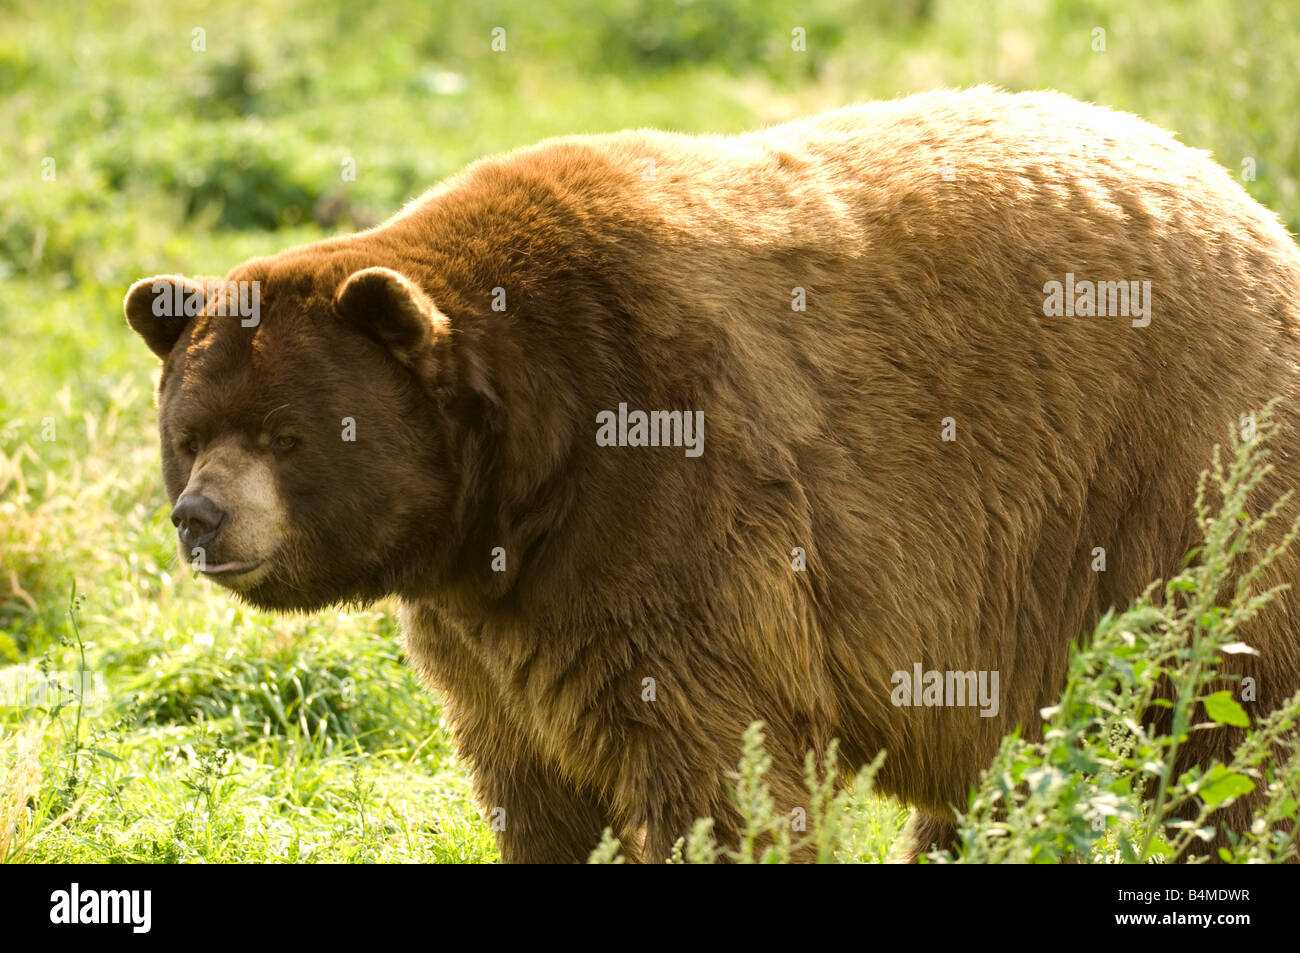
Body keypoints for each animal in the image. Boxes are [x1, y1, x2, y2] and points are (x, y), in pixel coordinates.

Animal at [124, 87, 1300, 863]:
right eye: (189, 429)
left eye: (287, 433)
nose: (201, 517)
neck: (512, 480)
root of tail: (1246, 204)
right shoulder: (491, 622)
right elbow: (529, 778)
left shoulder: (673, 495)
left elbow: (710, 760)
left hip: (1174, 476)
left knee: (1223, 721)